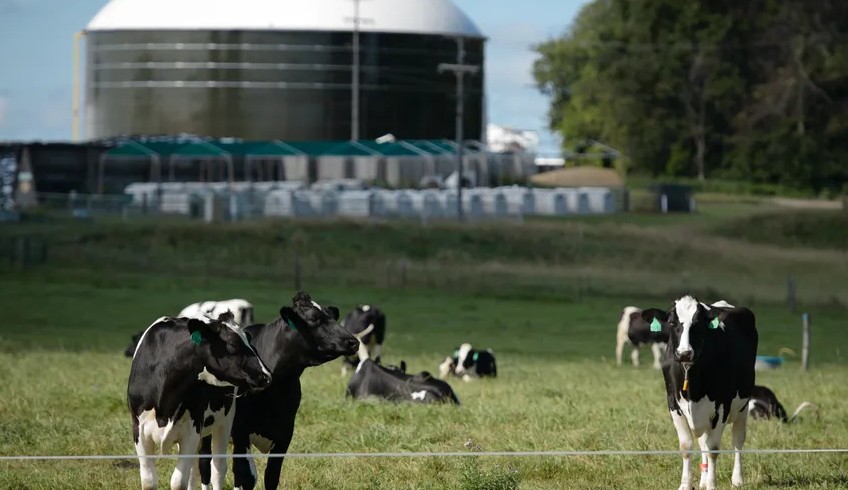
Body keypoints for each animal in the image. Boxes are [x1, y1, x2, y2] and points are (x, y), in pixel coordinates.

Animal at [127, 311, 272, 490]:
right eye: (233, 344)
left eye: (249, 340)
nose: (266, 376)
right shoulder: (138, 429)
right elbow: (149, 482)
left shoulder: (192, 429)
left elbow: (178, 482)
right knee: (195, 471)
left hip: (225, 421)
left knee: (218, 468)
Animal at [198, 291, 359, 490]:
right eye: (314, 318)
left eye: (331, 316)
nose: (353, 341)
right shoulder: (241, 432)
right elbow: (246, 475)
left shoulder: (285, 434)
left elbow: (271, 476)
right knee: (206, 464)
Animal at [641, 295, 757, 490]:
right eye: (671, 323)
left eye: (698, 324)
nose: (684, 353)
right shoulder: (672, 403)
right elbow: (687, 446)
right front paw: (686, 484)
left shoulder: (722, 404)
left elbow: (713, 449)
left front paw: (712, 484)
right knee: (703, 442)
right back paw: (703, 479)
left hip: (743, 405)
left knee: (738, 440)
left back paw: (737, 479)